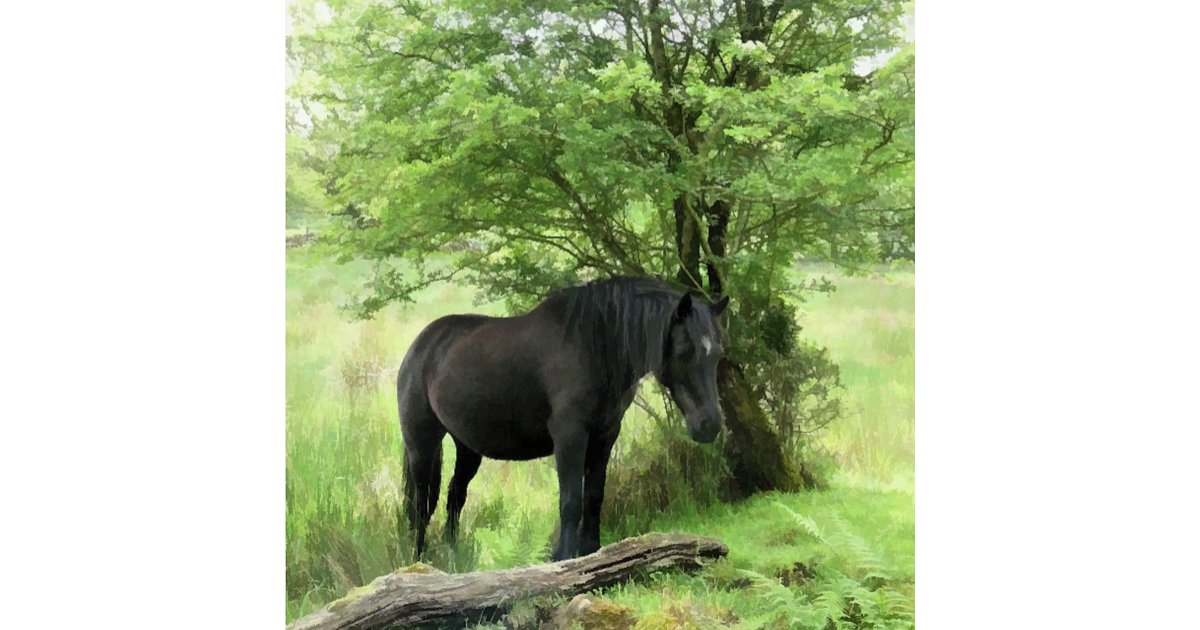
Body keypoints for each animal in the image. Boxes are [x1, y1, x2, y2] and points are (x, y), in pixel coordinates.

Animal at [396, 276, 729, 561]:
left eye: (718, 353)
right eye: (685, 350)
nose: (710, 425)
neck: (595, 347)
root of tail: (420, 345)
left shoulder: (605, 435)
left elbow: (593, 497)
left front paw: (592, 552)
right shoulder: (570, 436)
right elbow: (570, 501)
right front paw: (564, 557)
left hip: (467, 447)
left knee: (454, 497)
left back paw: (454, 557)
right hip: (421, 444)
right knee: (421, 505)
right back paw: (419, 561)